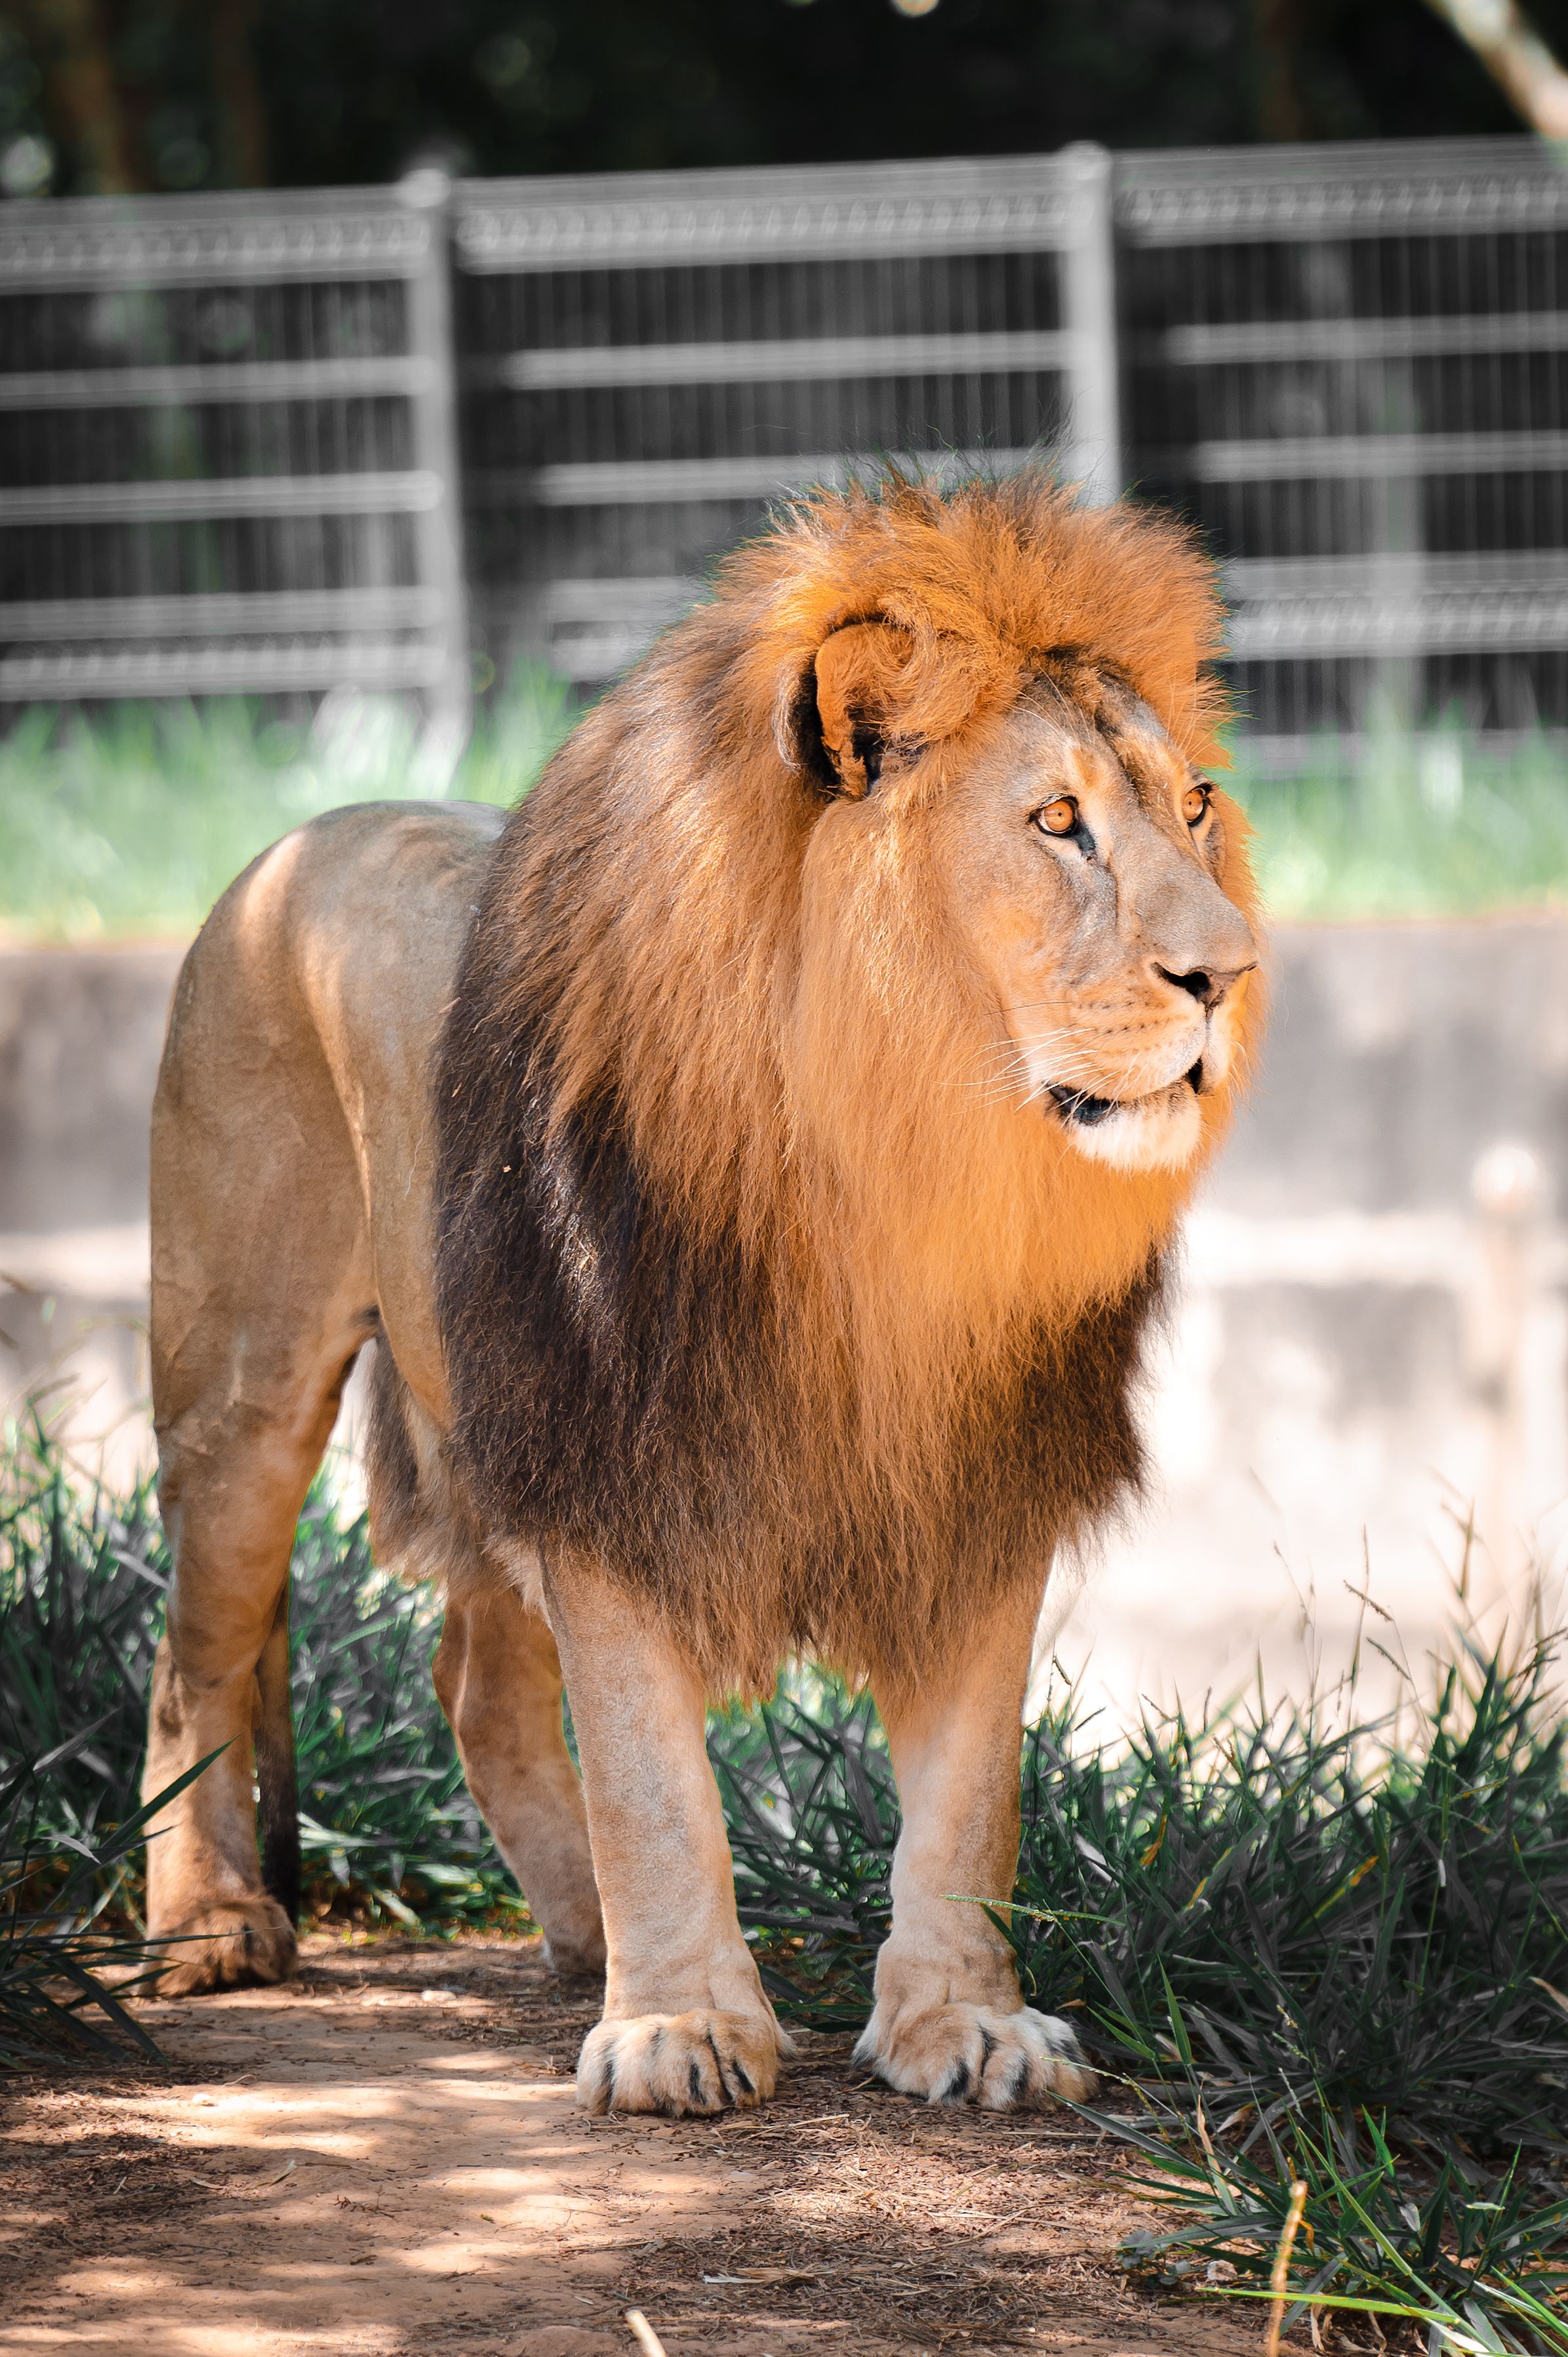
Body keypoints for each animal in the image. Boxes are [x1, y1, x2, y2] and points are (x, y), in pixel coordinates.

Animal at [141, 470, 1261, 2117]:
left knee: (474, 1678)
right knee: (198, 1656)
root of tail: (301, 837)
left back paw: (572, 1933)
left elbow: (968, 1797)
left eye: (1192, 807)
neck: (886, 1170)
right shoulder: (609, 1445)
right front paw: (677, 2020)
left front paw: (963, 2019)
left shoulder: (975, 1470)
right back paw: (214, 1923)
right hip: (250, 1382)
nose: (1227, 976)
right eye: (1056, 823)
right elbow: (653, 1778)